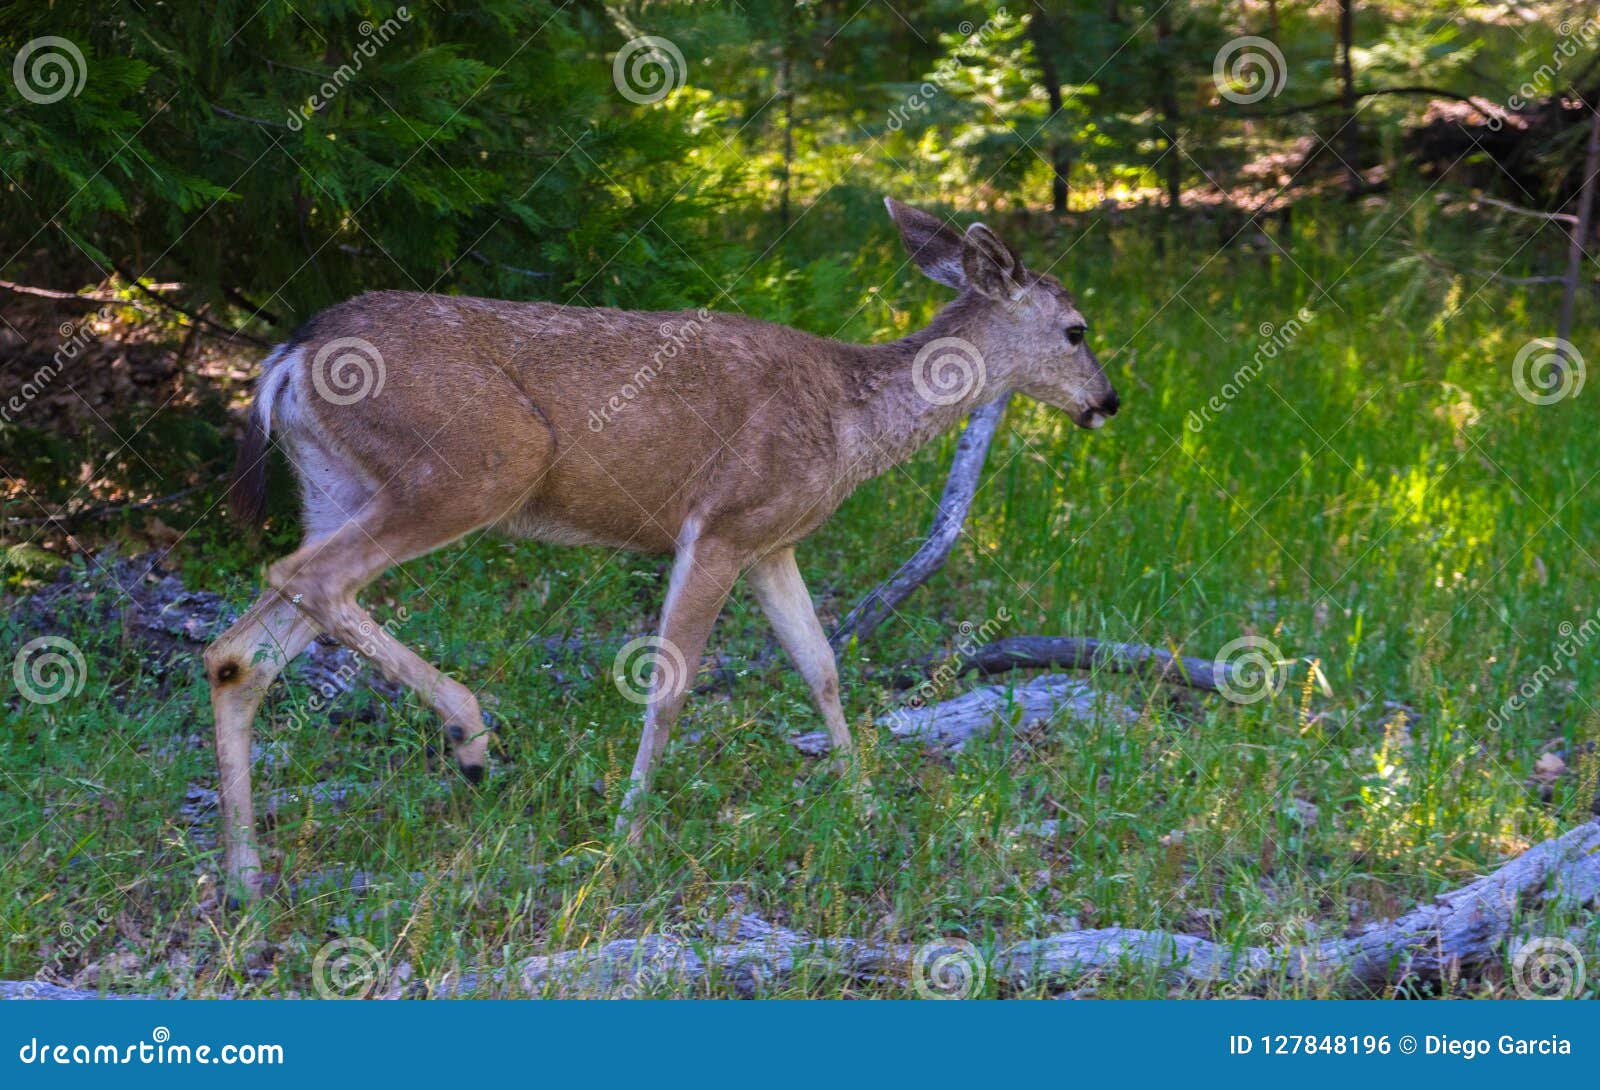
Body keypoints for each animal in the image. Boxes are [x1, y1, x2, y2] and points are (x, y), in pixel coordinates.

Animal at [205, 197, 1119, 899]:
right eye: (1076, 330)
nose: (1108, 402)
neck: (849, 422)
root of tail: (290, 353)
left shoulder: (770, 544)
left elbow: (821, 666)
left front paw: (863, 809)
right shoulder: (719, 524)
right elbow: (672, 683)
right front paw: (627, 835)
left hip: (335, 485)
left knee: (240, 651)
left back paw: (246, 878)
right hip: (473, 466)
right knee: (301, 577)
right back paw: (469, 734)